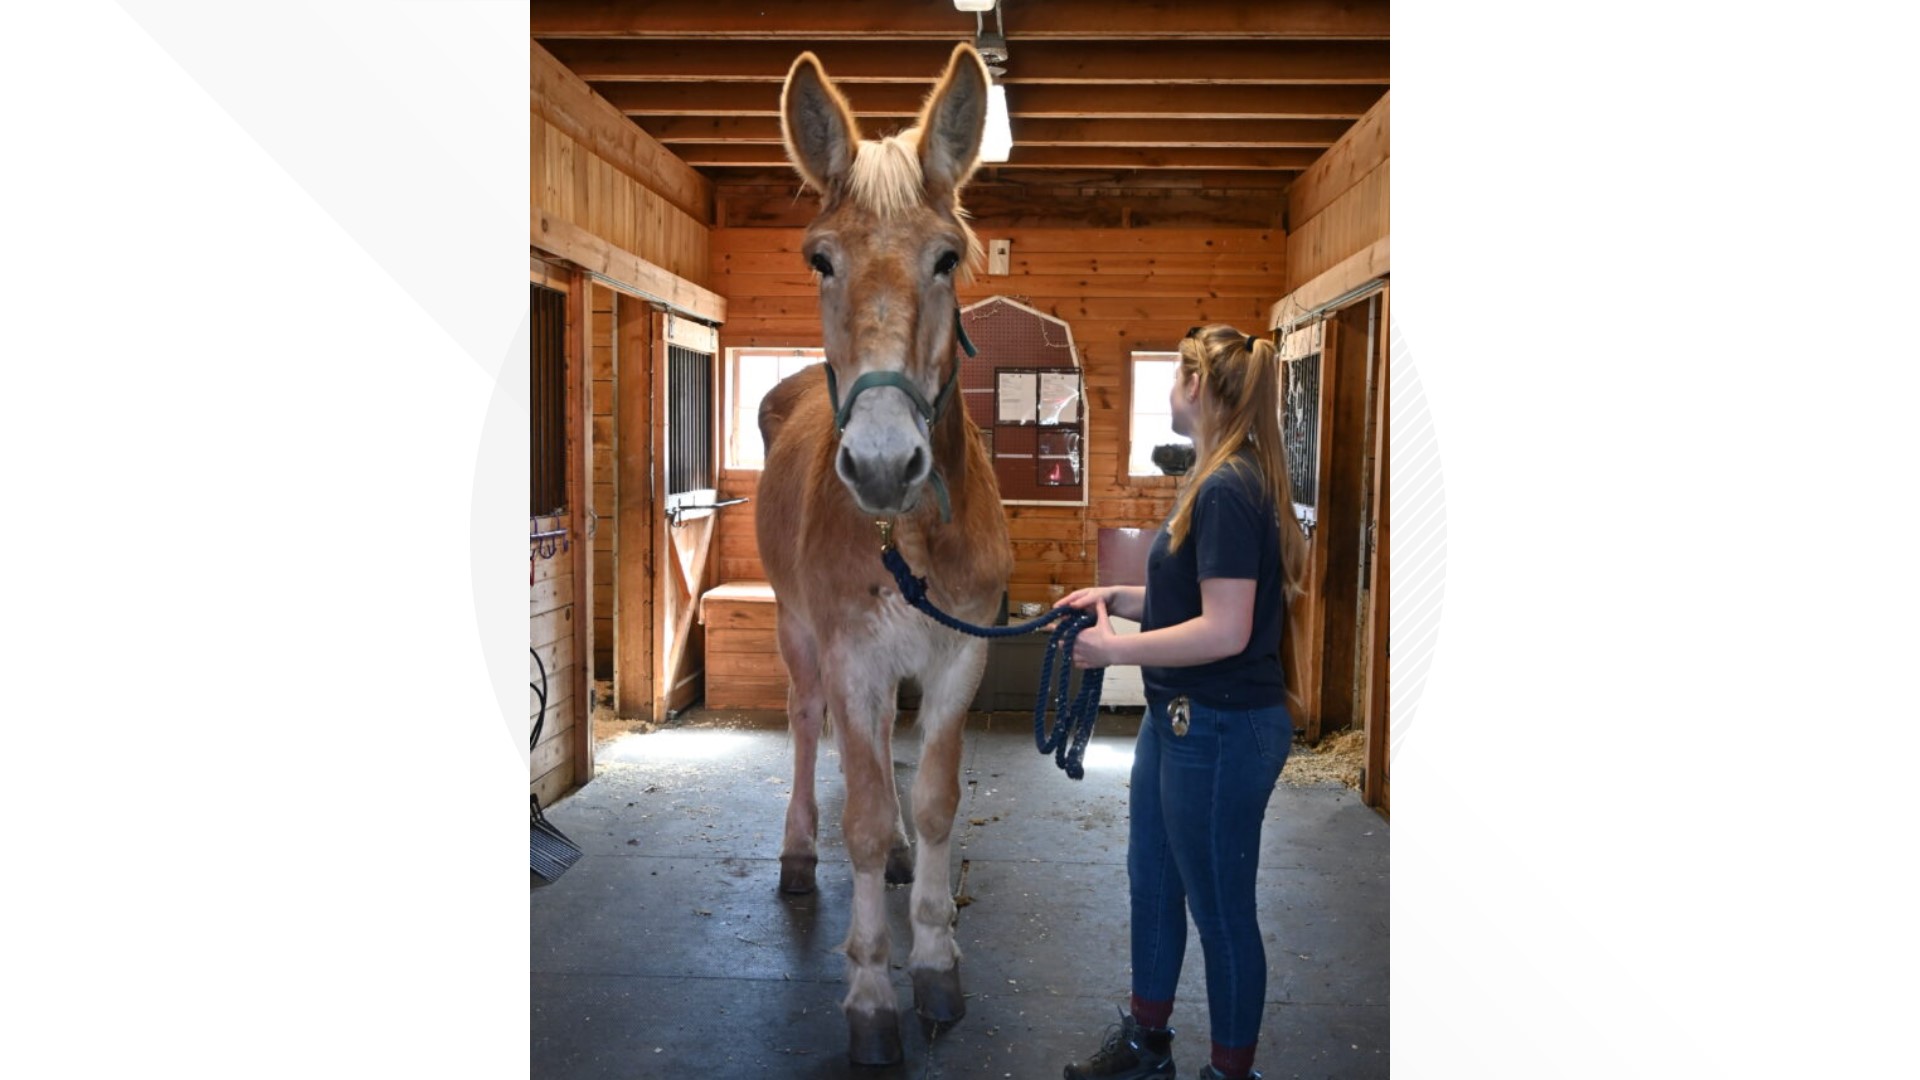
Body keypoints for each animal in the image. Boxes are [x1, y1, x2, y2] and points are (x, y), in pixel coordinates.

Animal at [753, 44, 1012, 1066]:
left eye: (948, 257)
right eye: (821, 259)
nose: (881, 463)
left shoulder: (958, 656)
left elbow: (935, 799)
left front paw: (936, 962)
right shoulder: (854, 657)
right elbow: (858, 818)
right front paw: (871, 994)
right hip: (799, 636)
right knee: (807, 724)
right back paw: (796, 852)